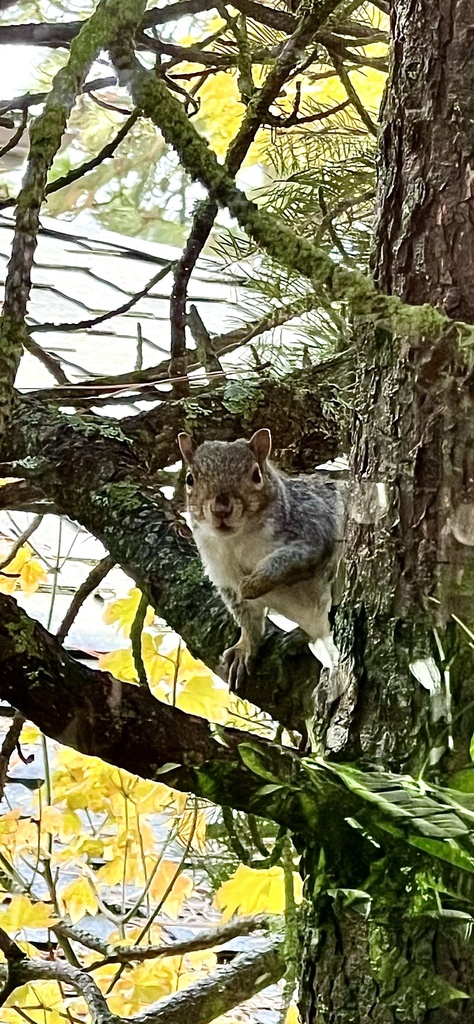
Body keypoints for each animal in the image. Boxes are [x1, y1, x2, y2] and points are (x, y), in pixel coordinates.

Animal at [178, 428, 345, 691]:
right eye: (190, 479)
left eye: (256, 475)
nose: (221, 509)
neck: (238, 540)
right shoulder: (223, 577)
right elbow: (248, 620)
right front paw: (245, 647)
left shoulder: (313, 530)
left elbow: (287, 562)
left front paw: (252, 584)